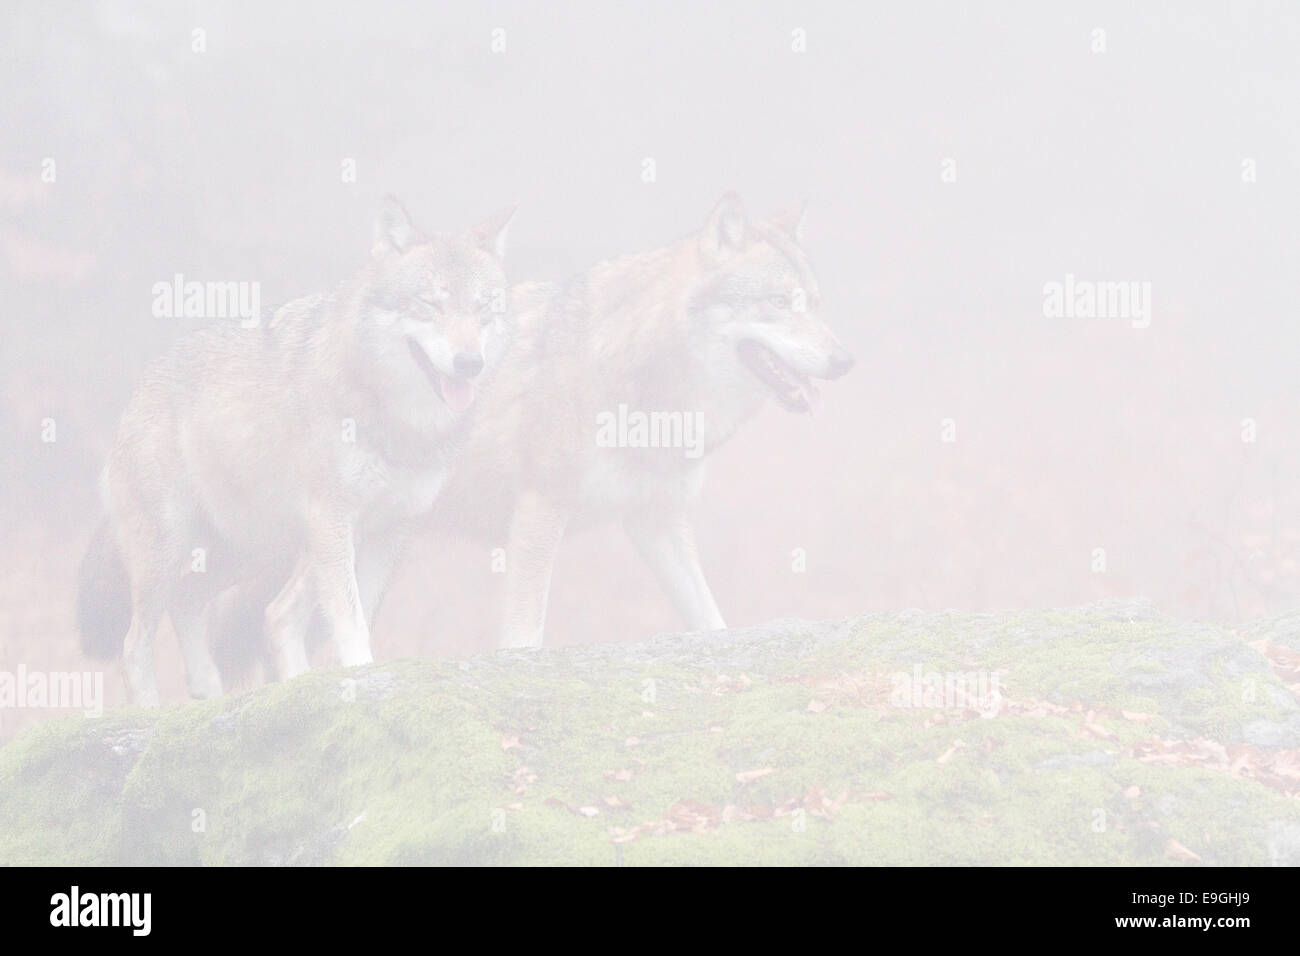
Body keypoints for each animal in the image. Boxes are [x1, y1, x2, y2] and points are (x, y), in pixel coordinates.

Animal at [76, 197, 515, 705]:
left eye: (483, 308)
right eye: (432, 303)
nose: (470, 363)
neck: (402, 423)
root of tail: (138, 389)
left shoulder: (391, 532)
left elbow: (360, 609)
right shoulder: (335, 516)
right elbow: (349, 615)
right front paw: (359, 672)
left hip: (257, 550)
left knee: (194, 602)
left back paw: (212, 693)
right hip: (173, 551)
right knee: (135, 643)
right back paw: (153, 710)